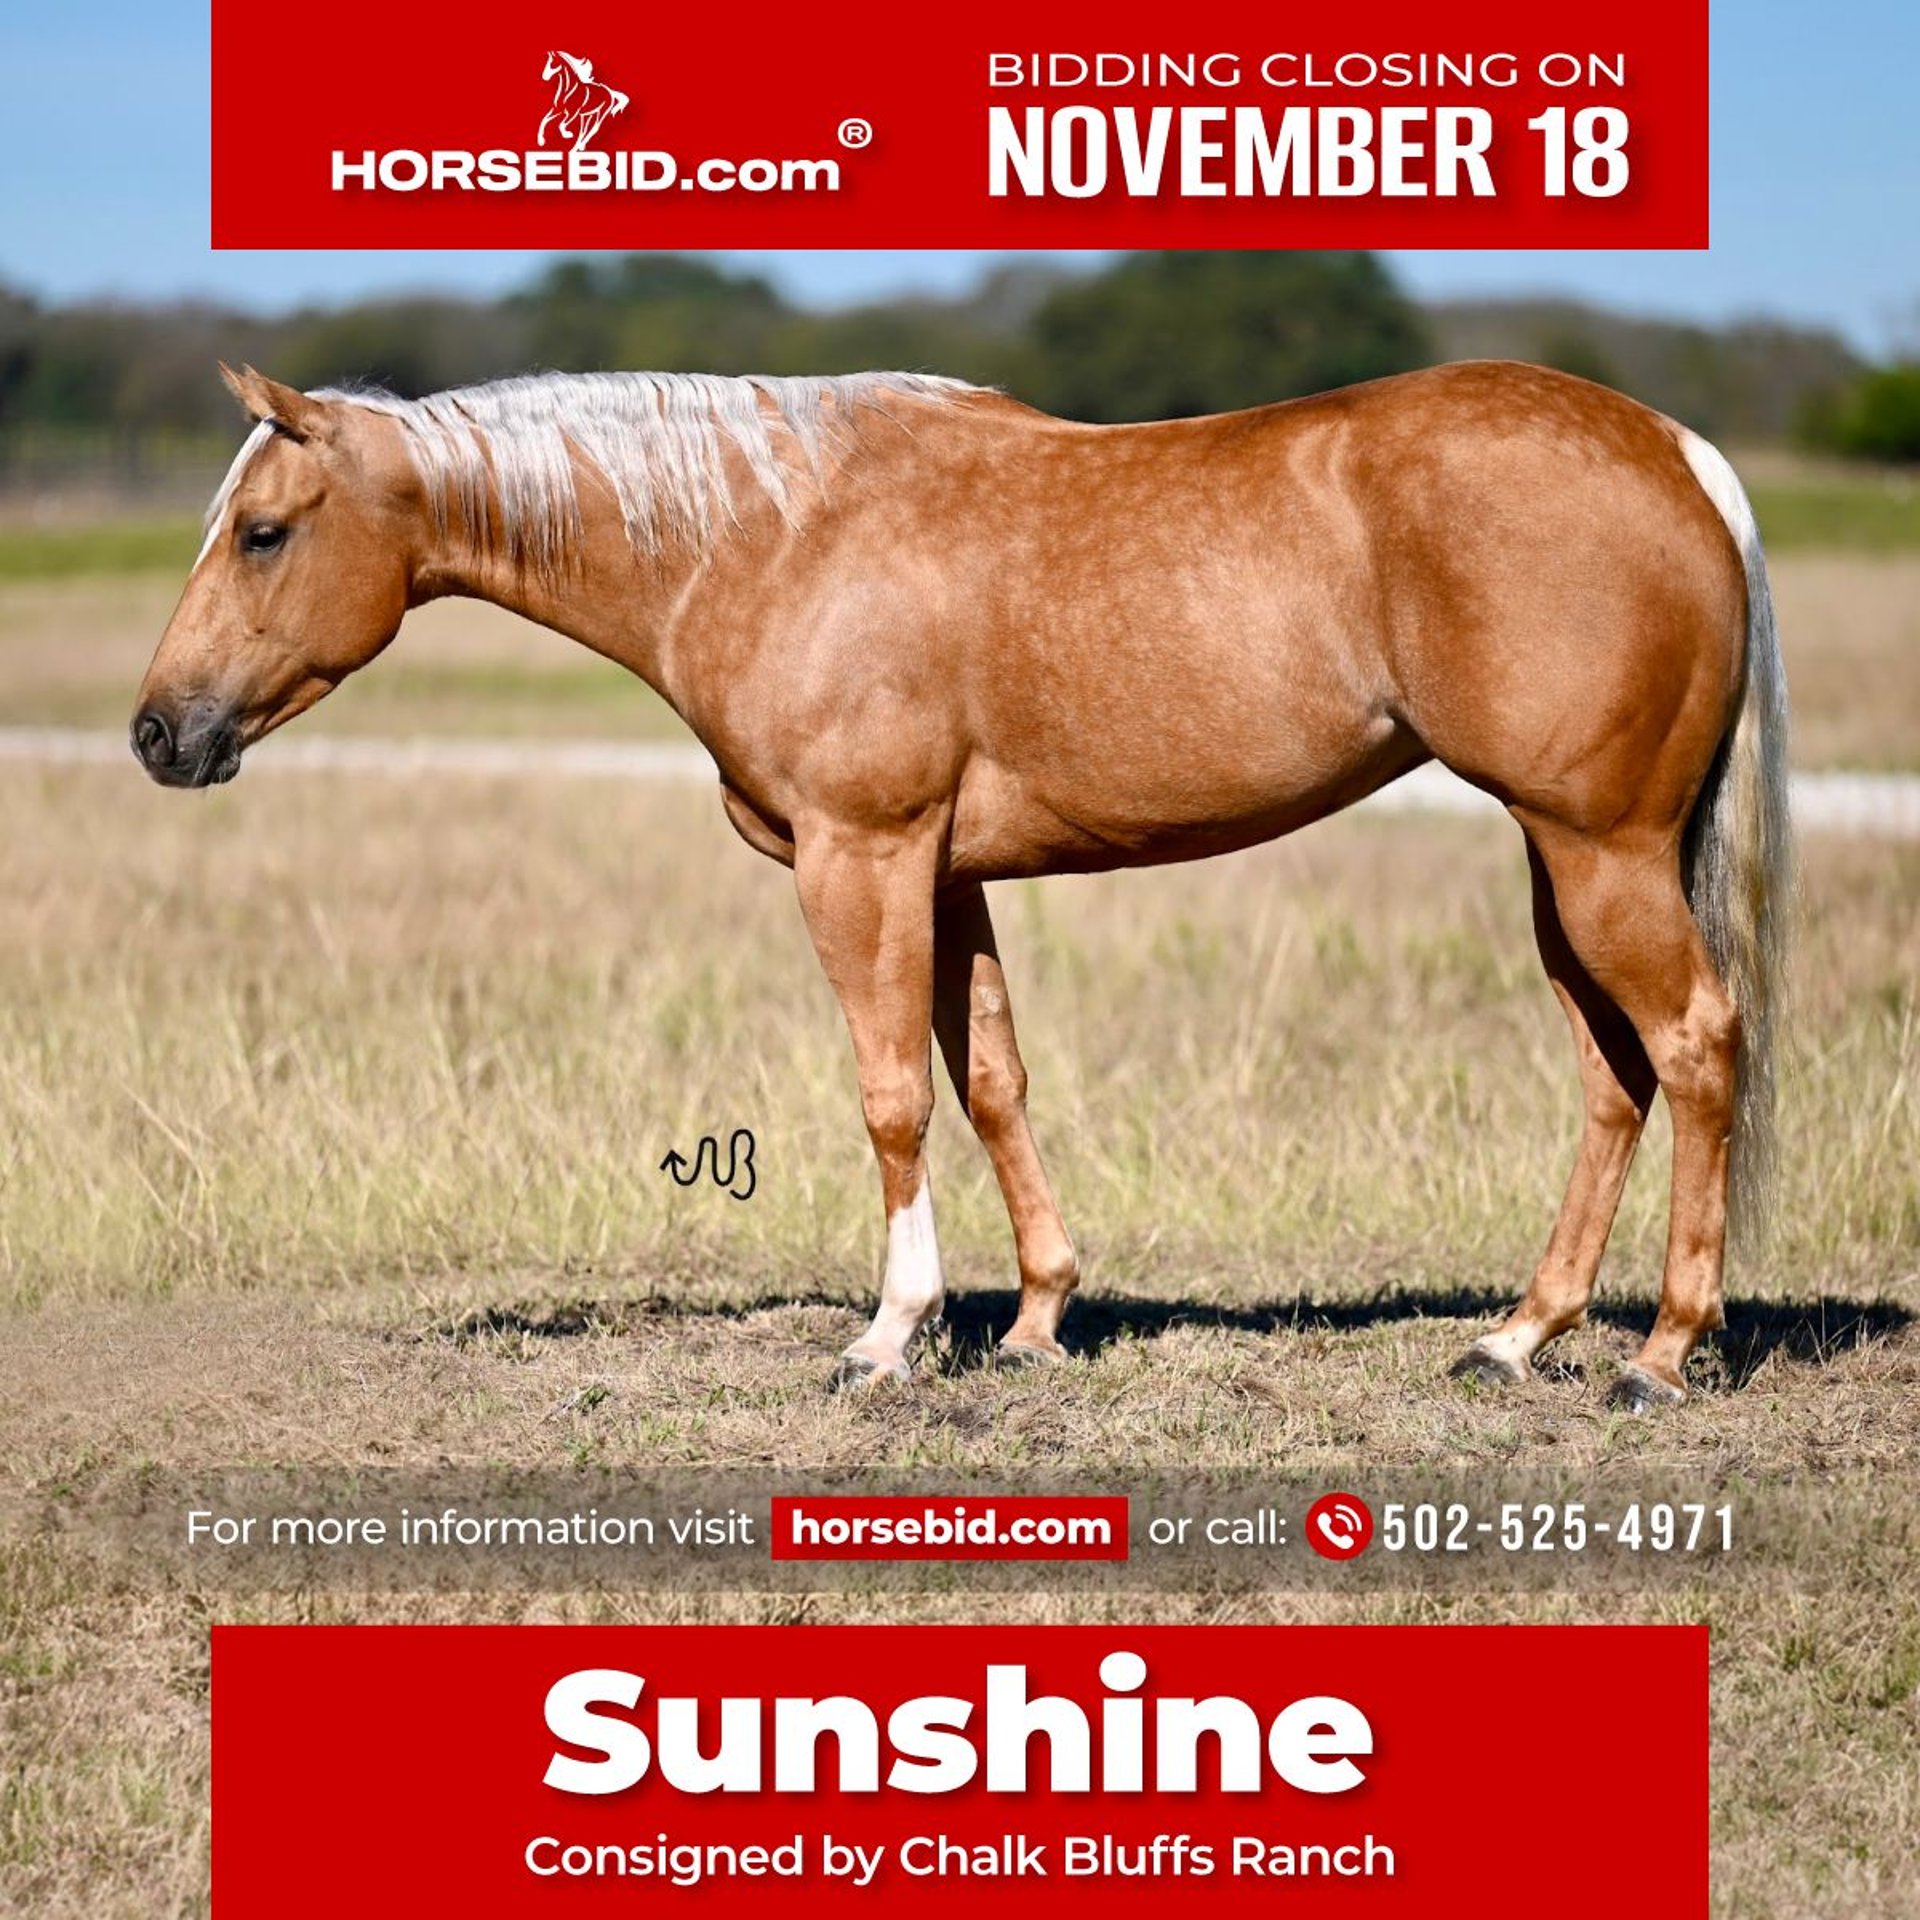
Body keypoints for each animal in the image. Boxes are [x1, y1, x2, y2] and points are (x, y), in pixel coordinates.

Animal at [132, 360, 1792, 1413]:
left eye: (264, 533)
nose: (160, 732)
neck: (771, 533)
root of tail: (1680, 455)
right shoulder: (949, 876)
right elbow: (992, 1080)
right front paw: (1042, 1318)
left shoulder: (860, 857)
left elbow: (891, 1098)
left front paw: (891, 1337)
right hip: (1563, 863)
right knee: (1613, 1074)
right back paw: (1517, 1338)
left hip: (1598, 852)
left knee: (1694, 1045)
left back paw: (1659, 1355)